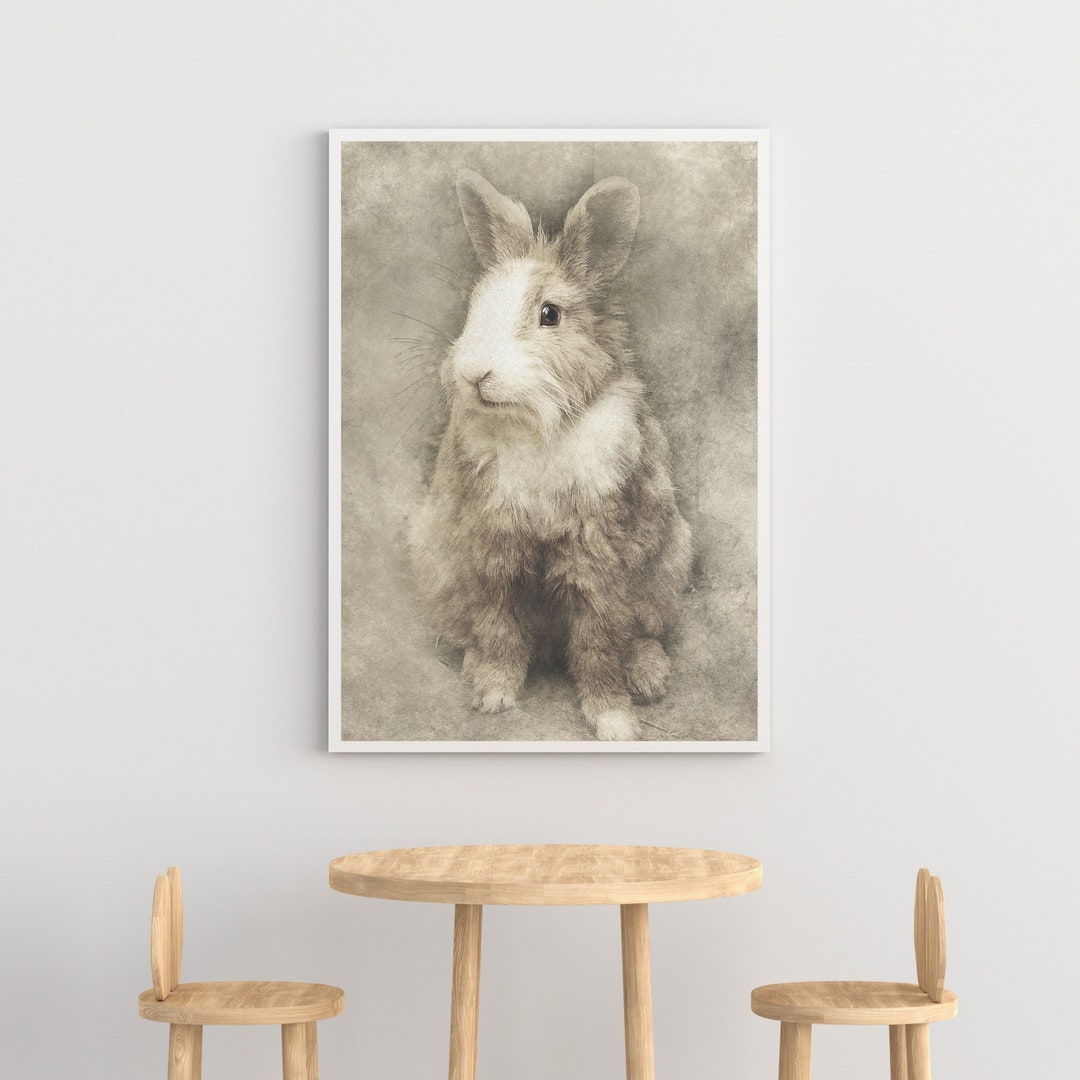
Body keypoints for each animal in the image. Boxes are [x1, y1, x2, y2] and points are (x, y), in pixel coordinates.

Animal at [408, 169, 693, 741]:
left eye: (549, 315)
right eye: (475, 307)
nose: (474, 373)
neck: (535, 426)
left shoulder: (599, 553)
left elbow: (599, 641)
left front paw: (614, 721)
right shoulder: (491, 547)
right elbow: (497, 626)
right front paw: (493, 694)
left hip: (666, 569)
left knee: (640, 635)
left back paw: (649, 676)